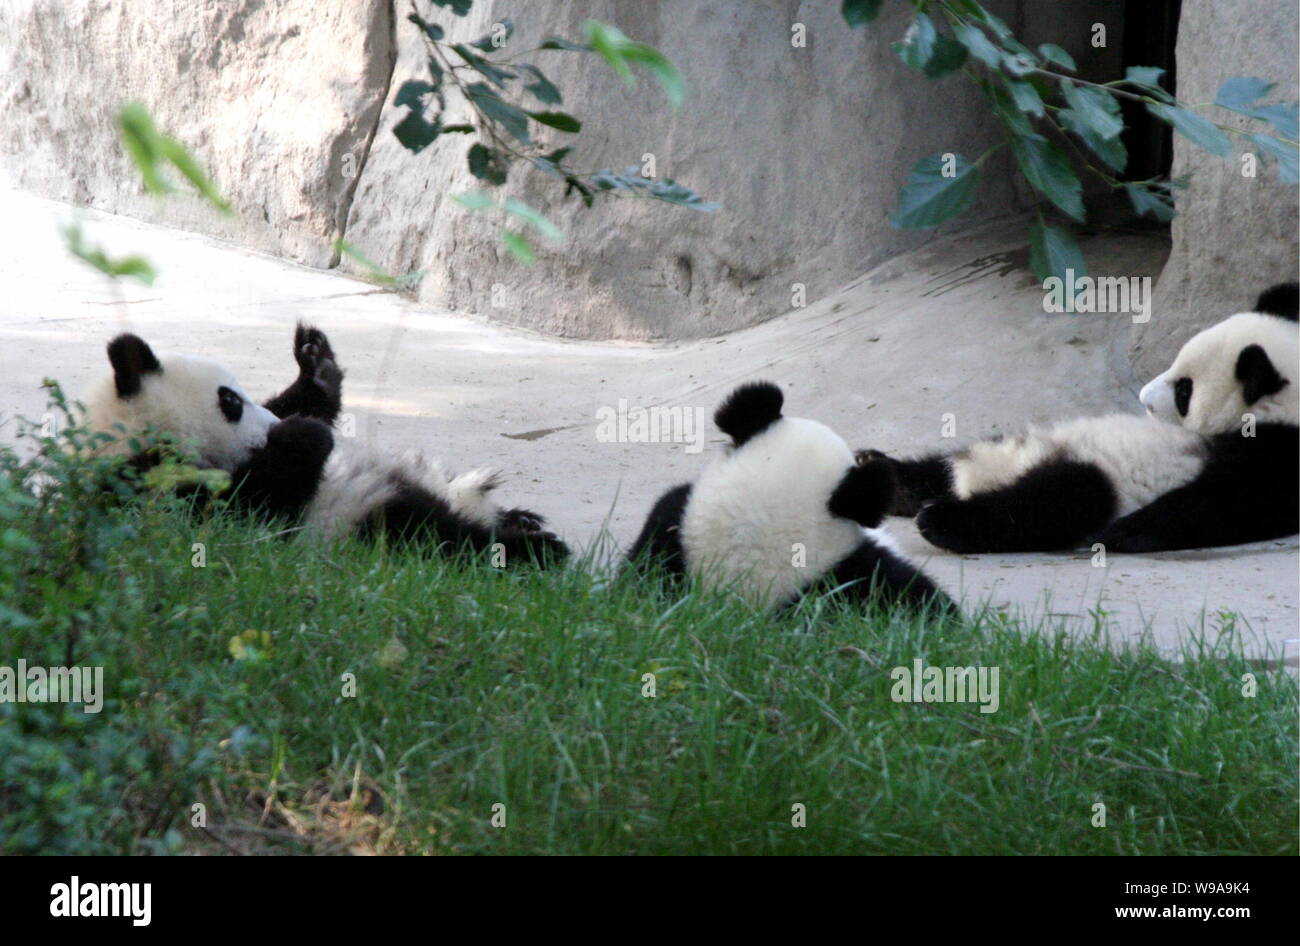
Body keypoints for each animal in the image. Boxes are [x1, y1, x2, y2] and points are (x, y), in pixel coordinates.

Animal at [81, 323, 568, 566]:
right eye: (230, 401)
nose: (272, 426)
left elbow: (301, 402)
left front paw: (315, 364)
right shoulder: (154, 493)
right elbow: (249, 509)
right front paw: (303, 435)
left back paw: (523, 521)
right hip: (367, 522)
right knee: (439, 538)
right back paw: (534, 550)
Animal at [864, 282, 1299, 554]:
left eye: (1184, 390)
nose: (1143, 400)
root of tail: (982, 475)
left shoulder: (1276, 452)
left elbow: (1229, 501)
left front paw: (1122, 534)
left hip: (1096, 480)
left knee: (1046, 504)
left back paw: (940, 519)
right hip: (1011, 445)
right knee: (938, 469)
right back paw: (884, 476)